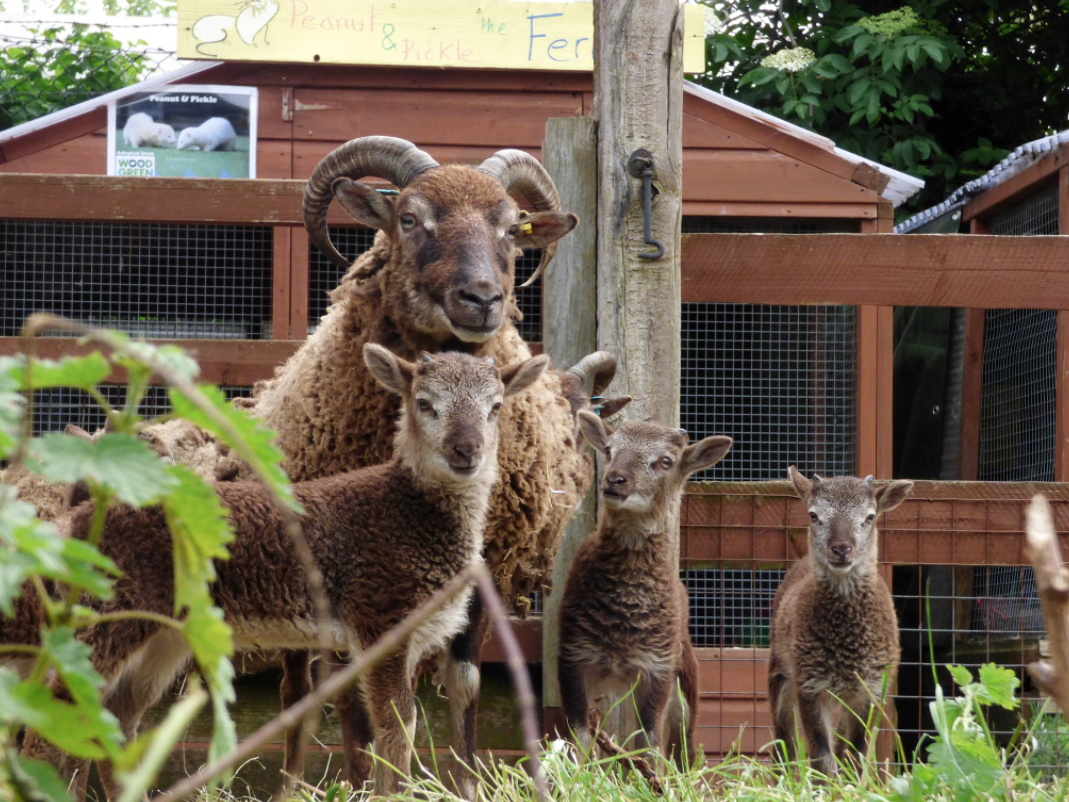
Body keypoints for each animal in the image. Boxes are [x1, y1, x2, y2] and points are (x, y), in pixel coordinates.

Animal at [18, 345, 549, 799]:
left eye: (496, 407)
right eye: (424, 403)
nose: (467, 450)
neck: (405, 511)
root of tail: (78, 520)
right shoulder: (380, 619)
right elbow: (399, 729)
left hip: (164, 634)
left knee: (113, 718)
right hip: (109, 612)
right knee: (55, 712)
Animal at [558, 411, 733, 765]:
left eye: (666, 461)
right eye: (608, 449)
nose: (615, 480)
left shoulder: (658, 666)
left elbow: (649, 741)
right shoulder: (573, 657)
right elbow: (578, 739)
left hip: (686, 672)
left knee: (682, 743)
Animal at [768, 468, 913, 776]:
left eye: (870, 516)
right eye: (813, 515)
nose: (841, 549)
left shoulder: (871, 690)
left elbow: (855, 754)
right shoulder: (809, 684)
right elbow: (821, 756)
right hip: (780, 669)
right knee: (784, 741)